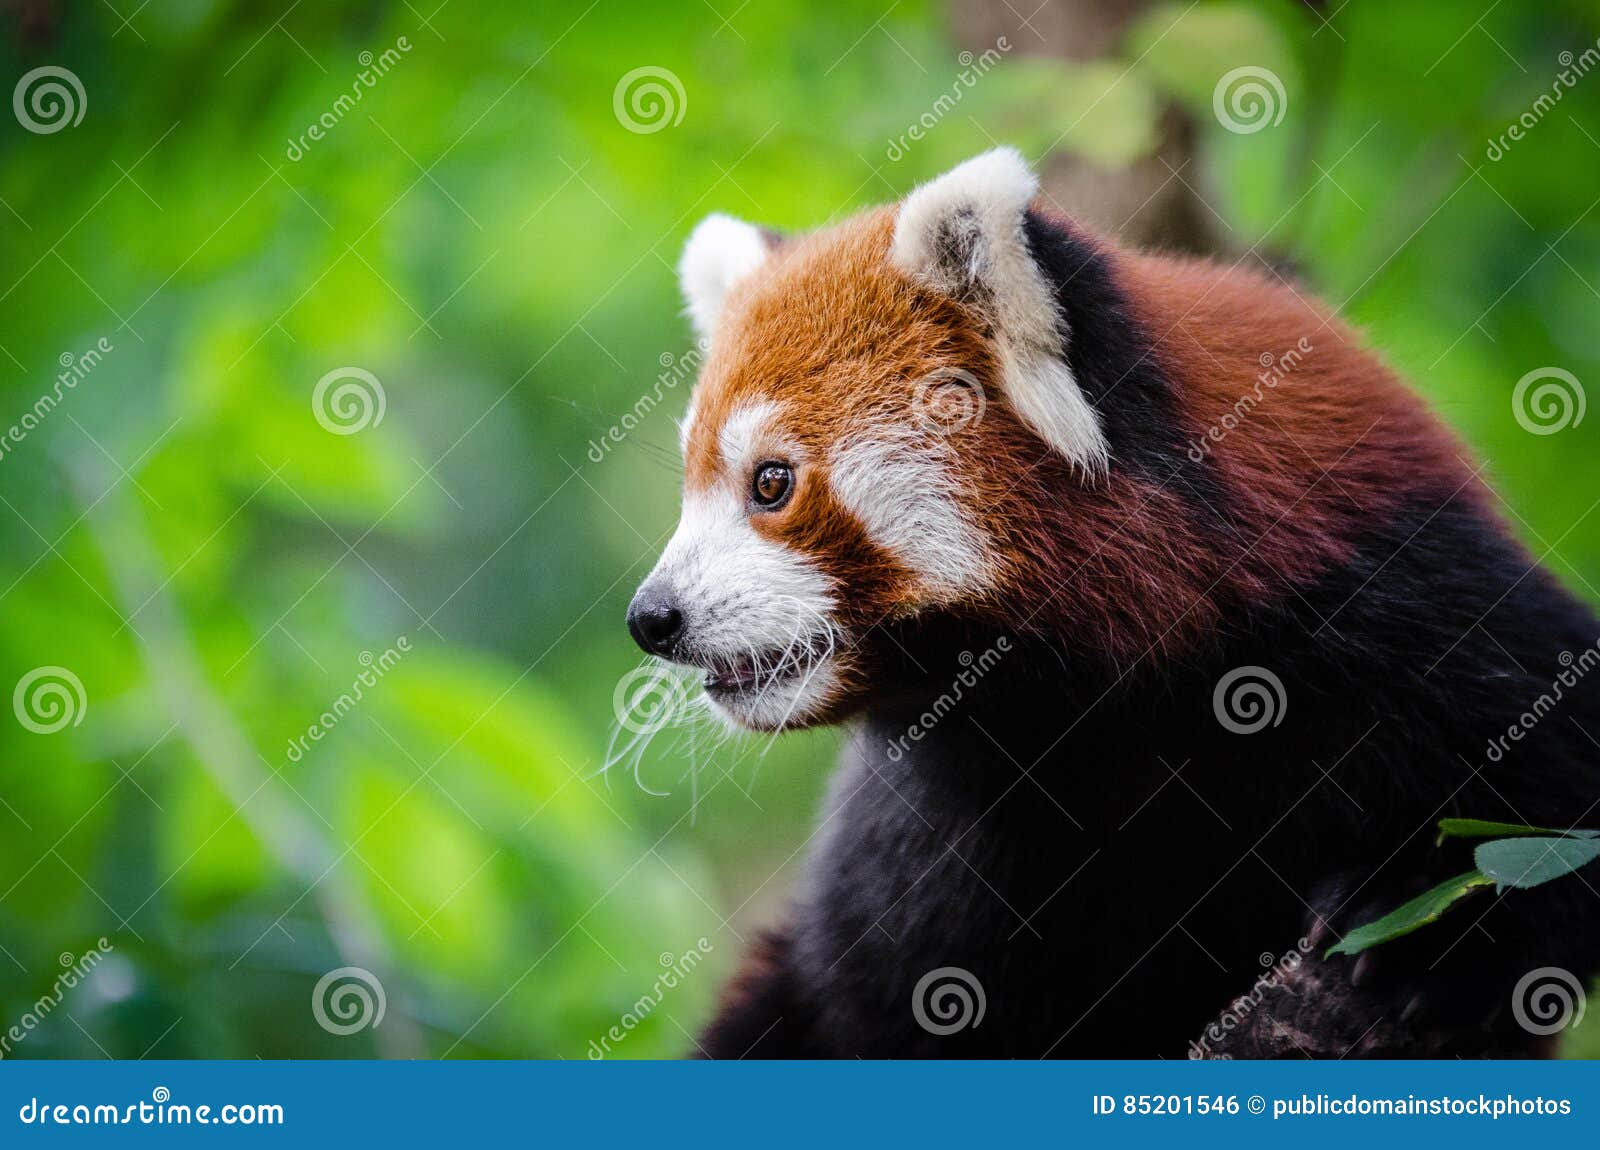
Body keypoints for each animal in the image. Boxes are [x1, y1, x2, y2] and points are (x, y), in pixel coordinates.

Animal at [624, 148, 1600, 1058]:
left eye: (771, 483)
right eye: (690, 488)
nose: (652, 619)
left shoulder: (1409, 597)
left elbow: (1546, 803)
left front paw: (1418, 923)